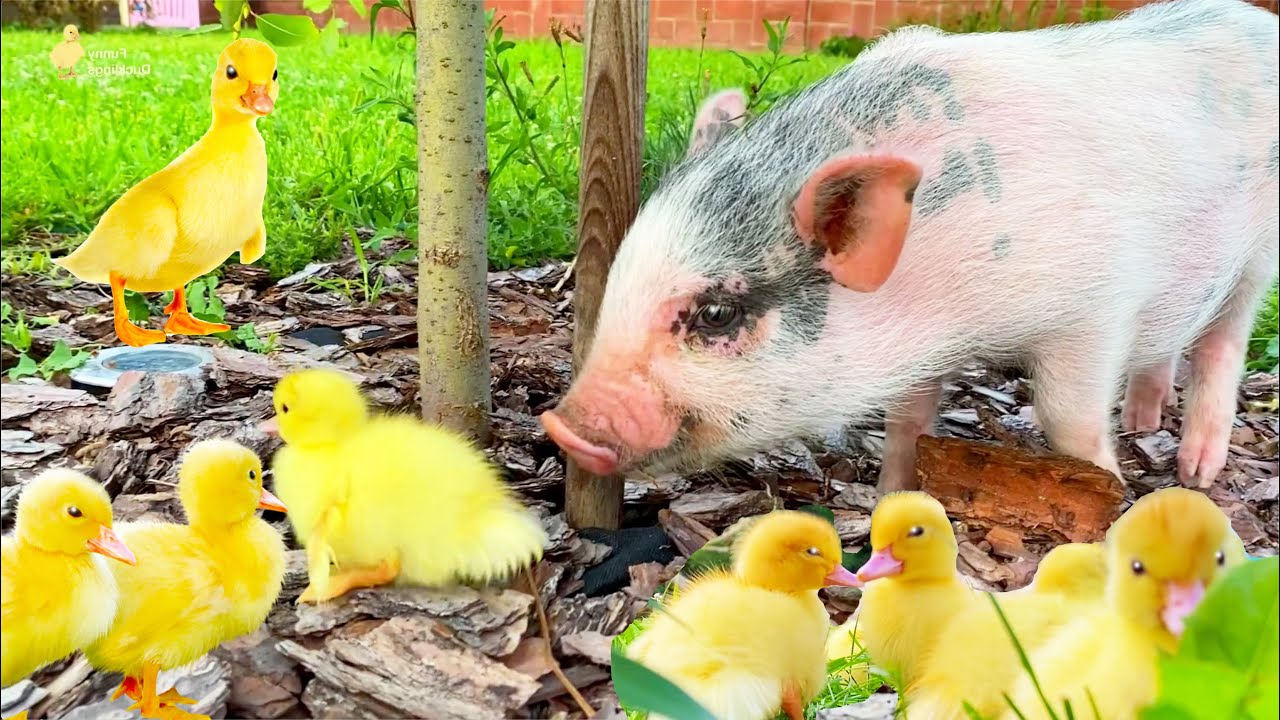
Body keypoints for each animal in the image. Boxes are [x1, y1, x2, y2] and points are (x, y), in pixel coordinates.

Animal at [541, 0, 1280, 492]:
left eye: (717, 314)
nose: (561, 425)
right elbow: (908, 422)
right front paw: (893, 500)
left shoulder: (1096, 306)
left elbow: (1066, 419)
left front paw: (1111, 491)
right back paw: (1140, 421)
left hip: (1260, 256)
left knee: (1223, 344)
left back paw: (1197, 471)